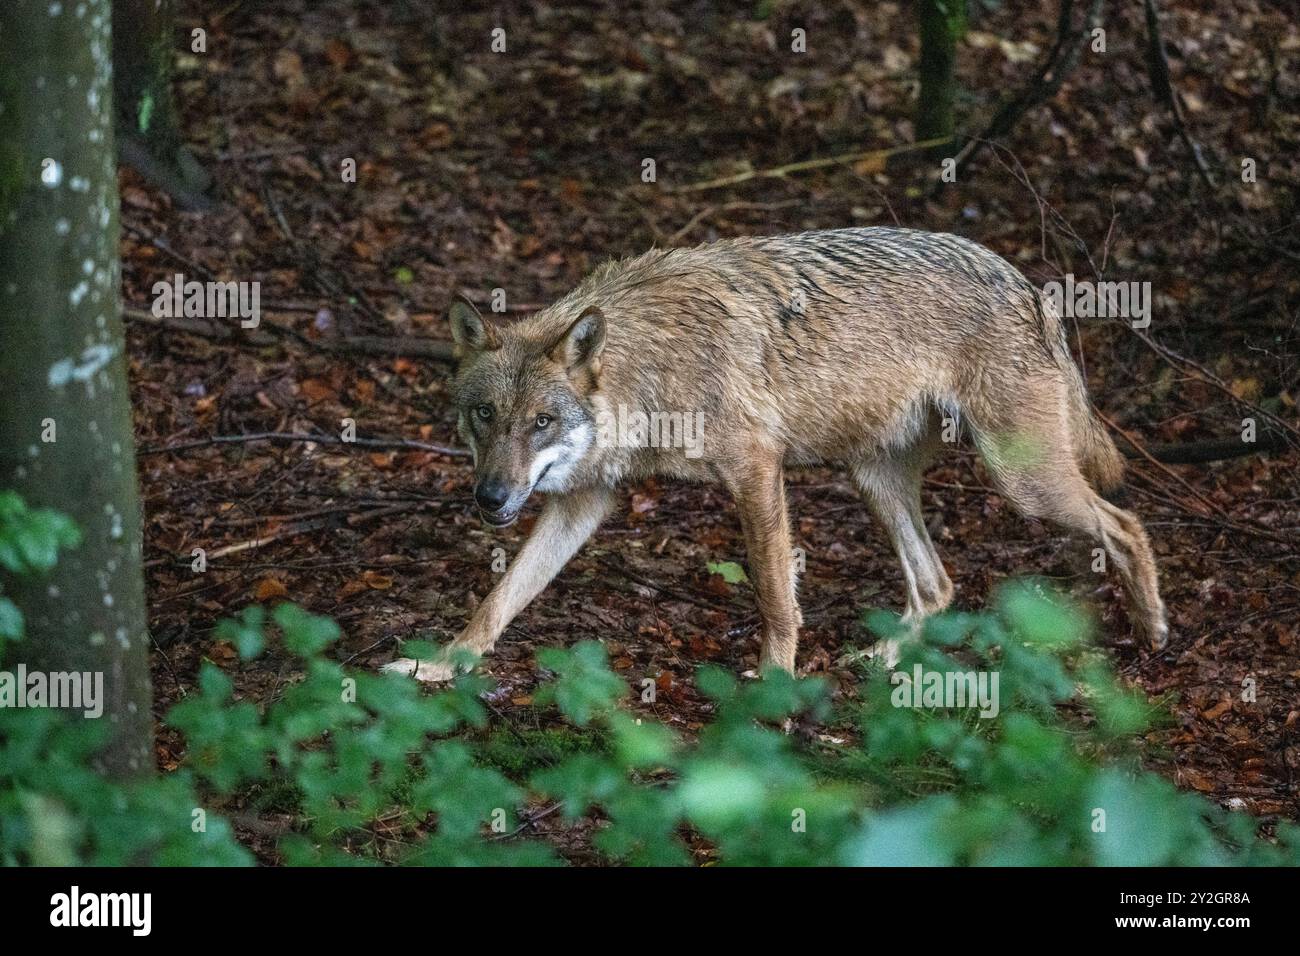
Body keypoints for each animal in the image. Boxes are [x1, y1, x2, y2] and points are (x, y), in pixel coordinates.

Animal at [384, 227, 1167, 682]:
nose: (489, 498)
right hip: (874, 479)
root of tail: (1031, 287)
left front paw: (777, 681)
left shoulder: (756, 470)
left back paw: (1153, 629)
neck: (647, 368)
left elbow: (772, 590)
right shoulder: (584, 503)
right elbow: (501, 597)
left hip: (1019, 480)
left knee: (1125, 524)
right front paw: (442, 665)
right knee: (938, 586)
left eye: (542, 422)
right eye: (485, 417)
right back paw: (883, 658)